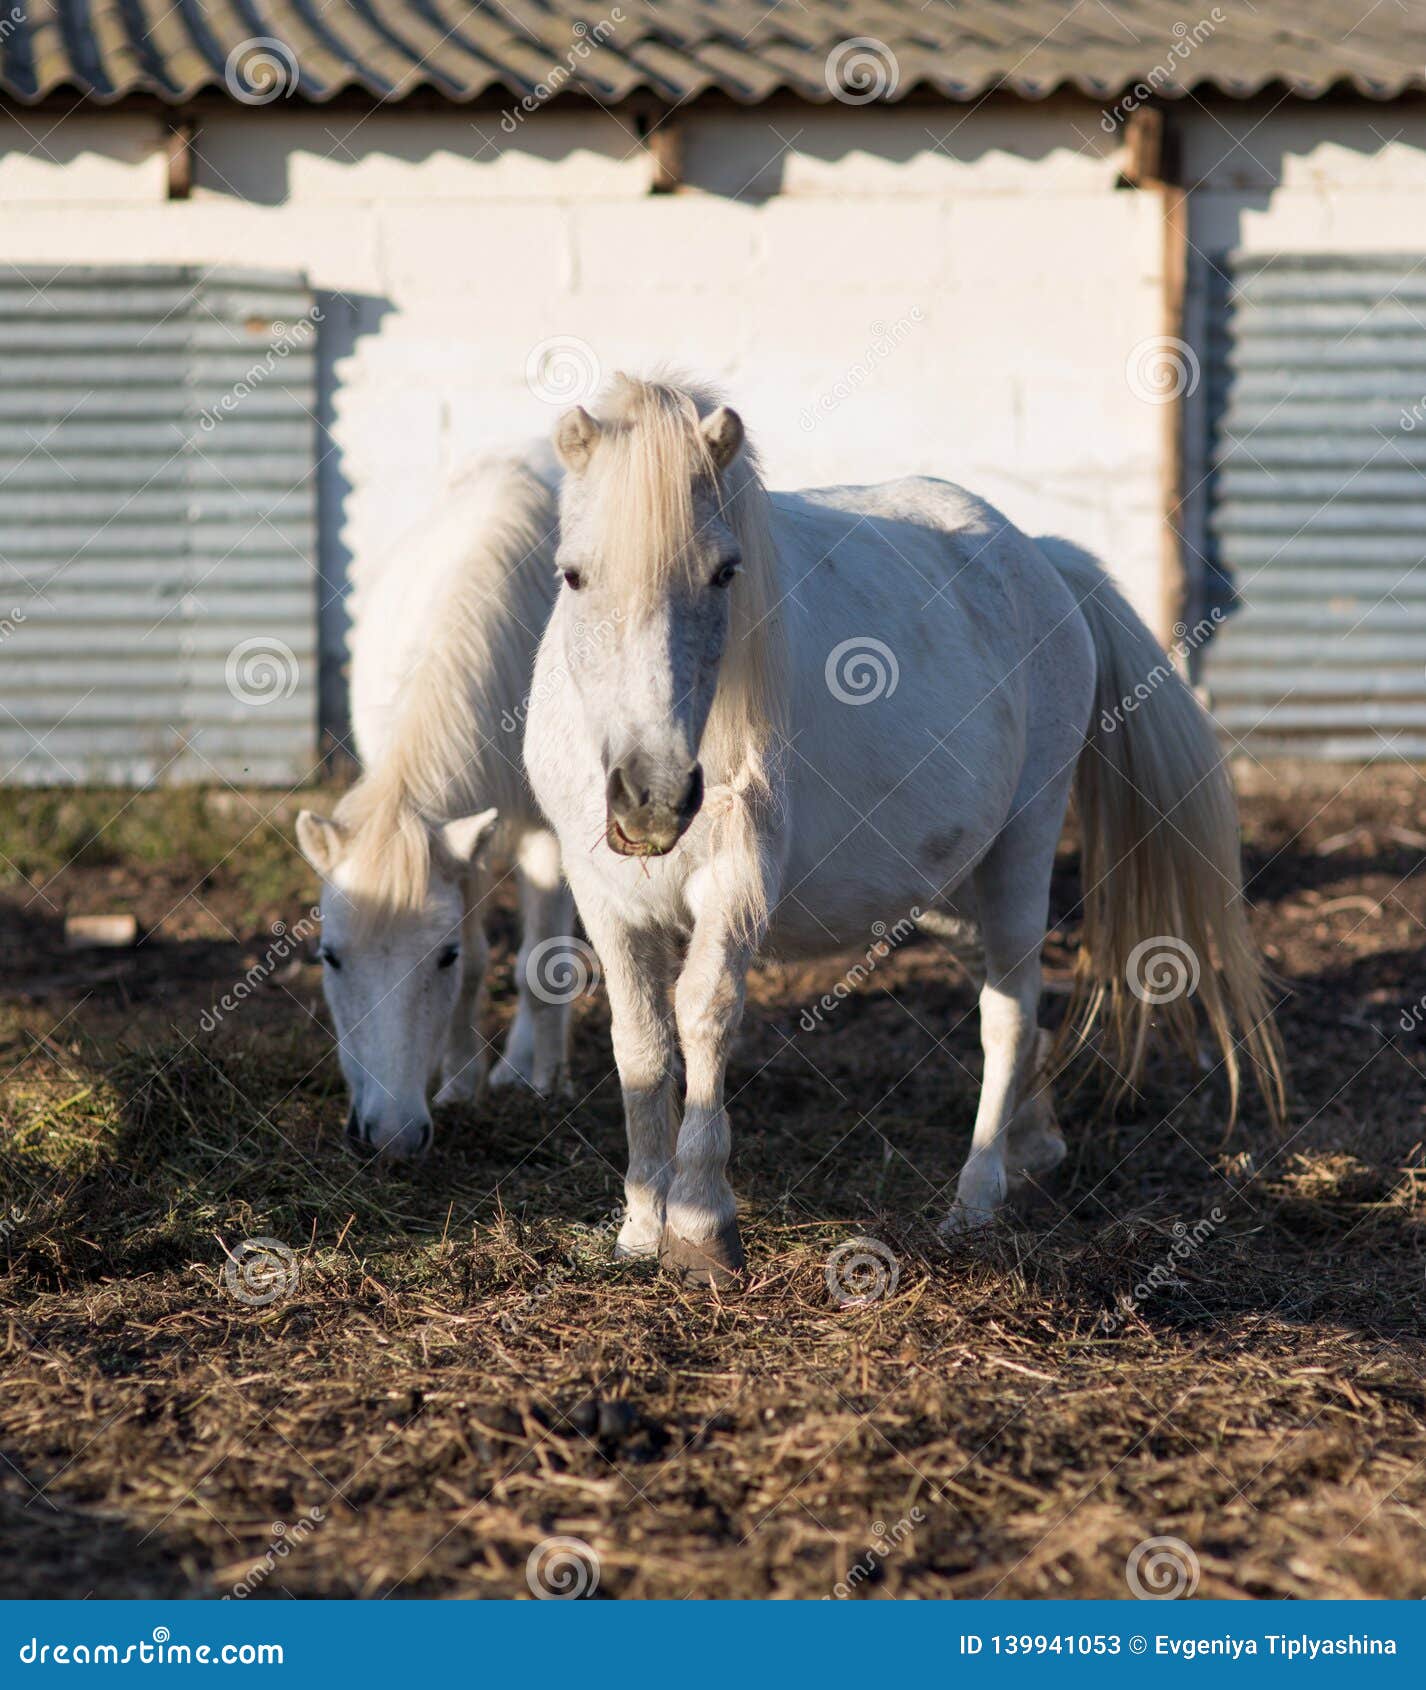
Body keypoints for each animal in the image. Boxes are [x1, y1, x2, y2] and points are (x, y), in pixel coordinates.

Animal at [295, 446, 582, 1159]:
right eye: (330, 957)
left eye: (438, 957)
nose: (391, 1137)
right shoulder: (461, 839)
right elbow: (483, 962)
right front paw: (460, 1082)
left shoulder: (544, 833)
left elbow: (534, 962)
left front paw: (544, 1084)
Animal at [523, 373, 1285, 1283]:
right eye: (572, 575)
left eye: (724, 572)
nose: (654, 796)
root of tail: (1039, 557)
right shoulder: (604, 897)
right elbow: (639, 1045)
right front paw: (641, 1227)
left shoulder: (738, 886)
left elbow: (704, 1013)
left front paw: (701, 1225)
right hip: (948, 888)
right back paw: (1035, 1144)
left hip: (1022, 849)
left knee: (1009, 1010)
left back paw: (980, 1195)